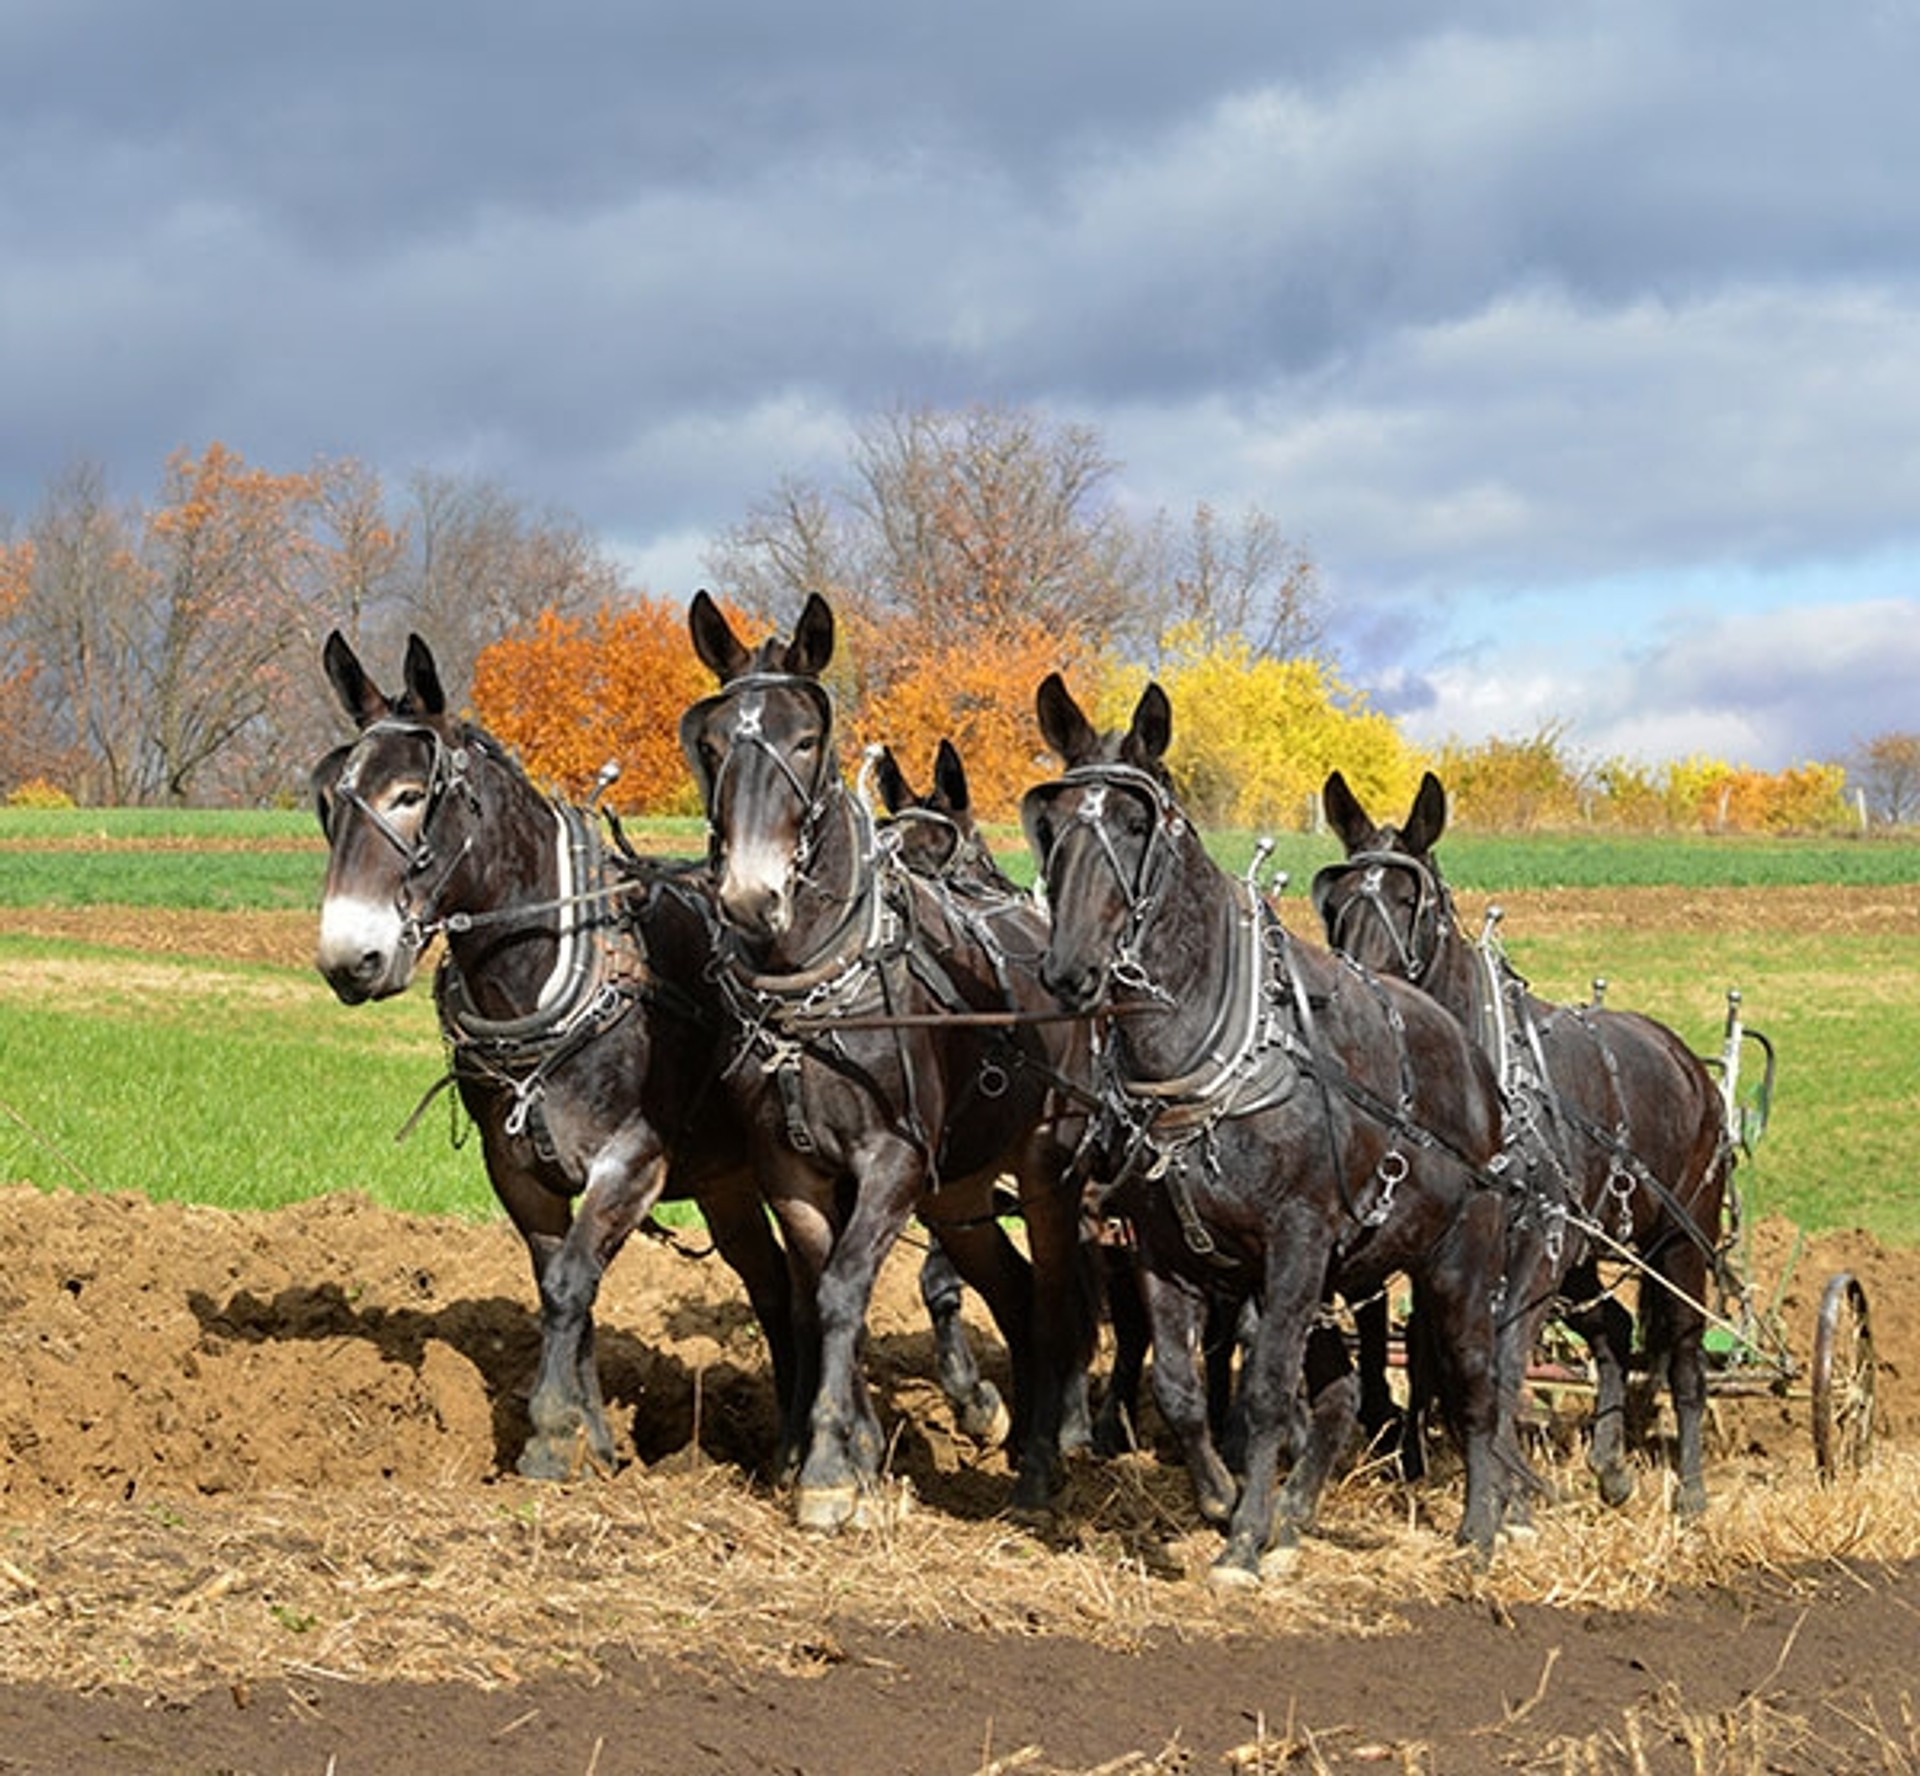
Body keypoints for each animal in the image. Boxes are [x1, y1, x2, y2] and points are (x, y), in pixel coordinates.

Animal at [310, 631, 801, 1481]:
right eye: (328, 801)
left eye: (411, 794)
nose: (350, 958)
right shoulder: (518, 1174)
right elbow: (561, 1285)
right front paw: (590, 1439)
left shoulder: (632, 1163)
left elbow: (575, 1280)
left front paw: (545, 1436)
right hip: (726, 1179)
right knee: (769, 1284)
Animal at [680, 592, 1093, 1530]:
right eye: (712, 743)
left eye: (805, 739)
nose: (749, 896)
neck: (813, 996)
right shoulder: (790, 1168)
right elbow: (822, 1290)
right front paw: (846, 1452)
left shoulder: (895, 1162)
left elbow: (840, 1290)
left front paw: (833, 1470)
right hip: (962, 1193)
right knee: (1012, 1292)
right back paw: (1015, 1430)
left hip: (1044, 1173)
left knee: (1057, 1302)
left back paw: (1046, 1461)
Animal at [1023, 674, 1513, 1583]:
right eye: (1054, 819)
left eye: (1137, 824)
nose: (1070, 970)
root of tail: (1475, 1068)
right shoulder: (1161, 1251)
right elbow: (1183, 1388)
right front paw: (1222, 1500)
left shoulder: (1294, 1241)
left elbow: (1261, 1392)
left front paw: (1243, 1539)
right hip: (1338, 1276)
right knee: (1339, 1391)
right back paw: (1296, 1517)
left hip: (1456, 1261)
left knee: (1474, 1381)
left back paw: (1480, 1531)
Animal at [1316, 770, 1732, 1516]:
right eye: (1334, 903)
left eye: (1410, 901)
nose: (1355, 1001)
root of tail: (1689, 1065)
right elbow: (1435, 1357)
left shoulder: (1539, 1242)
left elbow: (1505, 1358)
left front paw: (1510, 1497)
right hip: (1587, 1247)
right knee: (1613, 1332)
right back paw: (1610, 1466)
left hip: (1682, 1240)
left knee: (1685, 1357)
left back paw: (1689, 1491)